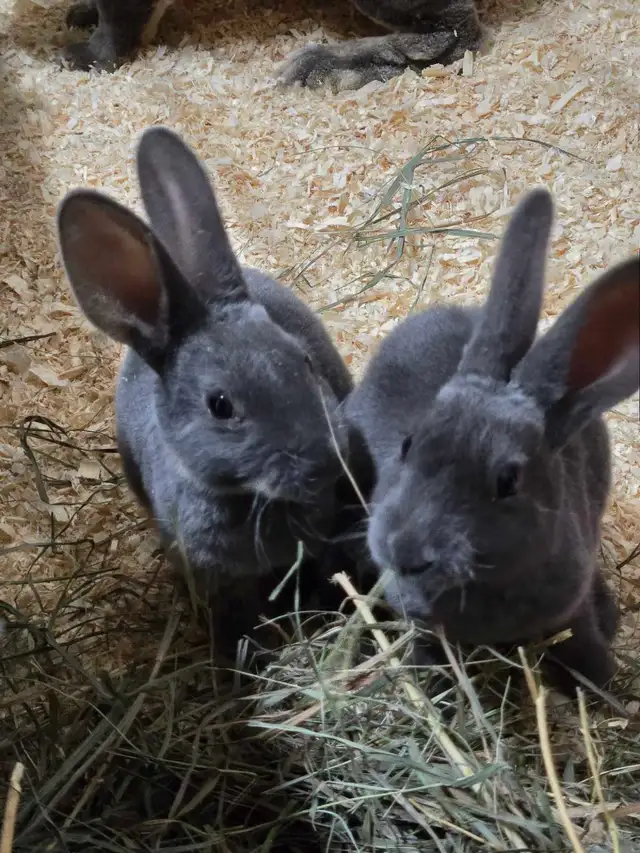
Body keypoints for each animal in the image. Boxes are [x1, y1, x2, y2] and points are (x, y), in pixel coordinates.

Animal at [345, 186, 639, 696]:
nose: (404, 551)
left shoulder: (569, 609)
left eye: (508, 481)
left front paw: (602, 687)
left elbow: (582, 644)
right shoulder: (423, 625)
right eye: (408, 445)